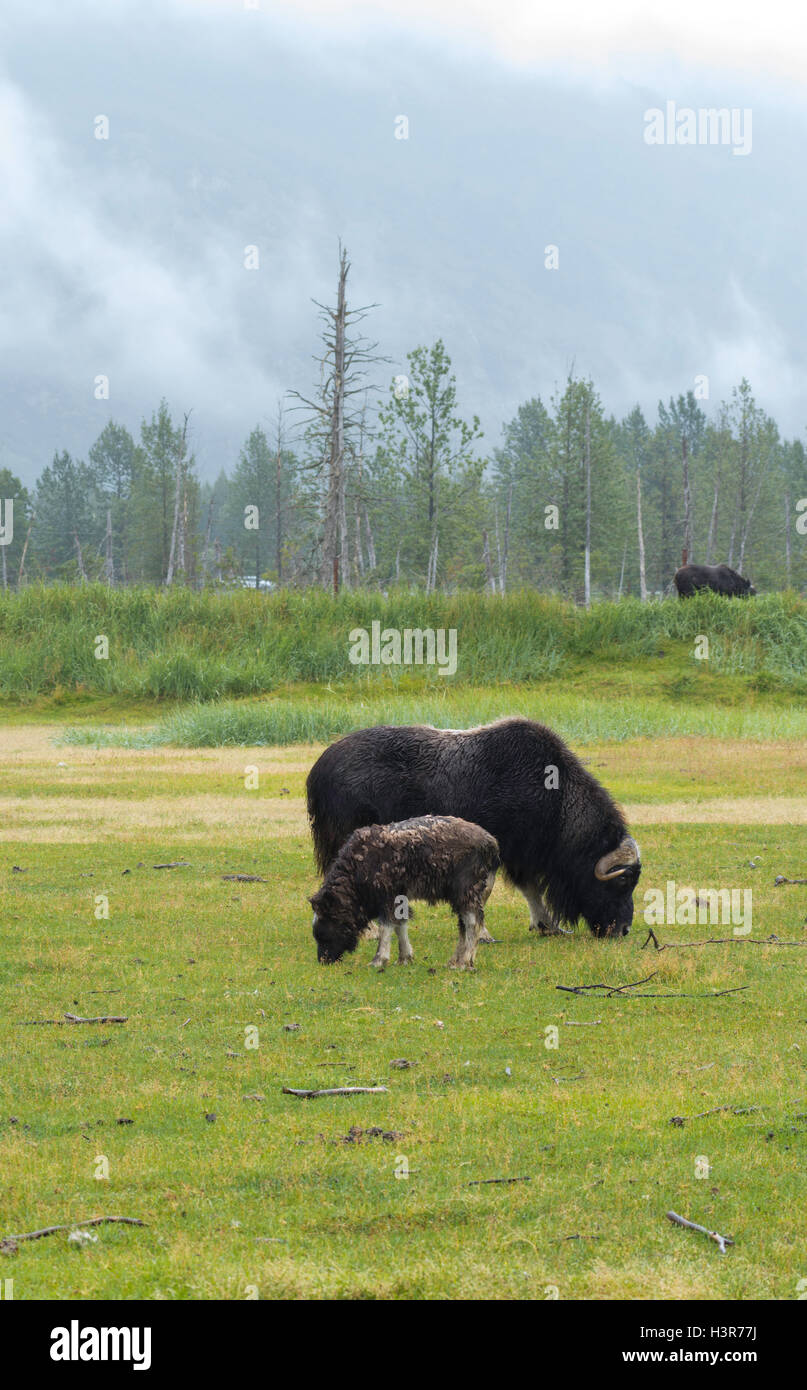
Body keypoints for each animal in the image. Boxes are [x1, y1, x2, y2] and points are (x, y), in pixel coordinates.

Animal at [306, 717, 641, 939]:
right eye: (623, 881)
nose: (623, 930)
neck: (557, 799)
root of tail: (320, 767)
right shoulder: (499, 846)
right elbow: (489, 887)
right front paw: (482, 933)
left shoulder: (522, 853)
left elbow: (530, 887)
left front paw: (548, 926)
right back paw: (372, 932)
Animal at [310, 815, 500, 970]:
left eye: (328, 923)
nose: (323, 960)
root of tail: (490, 842)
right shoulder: (399, 898)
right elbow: (400, 925)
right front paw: (404, 958)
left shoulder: (388, 898)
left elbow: (386, 927)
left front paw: (378, 960)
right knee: (463, 925)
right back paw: (454, 961)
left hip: (466, 891)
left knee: (472, 923)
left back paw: (464, 963)